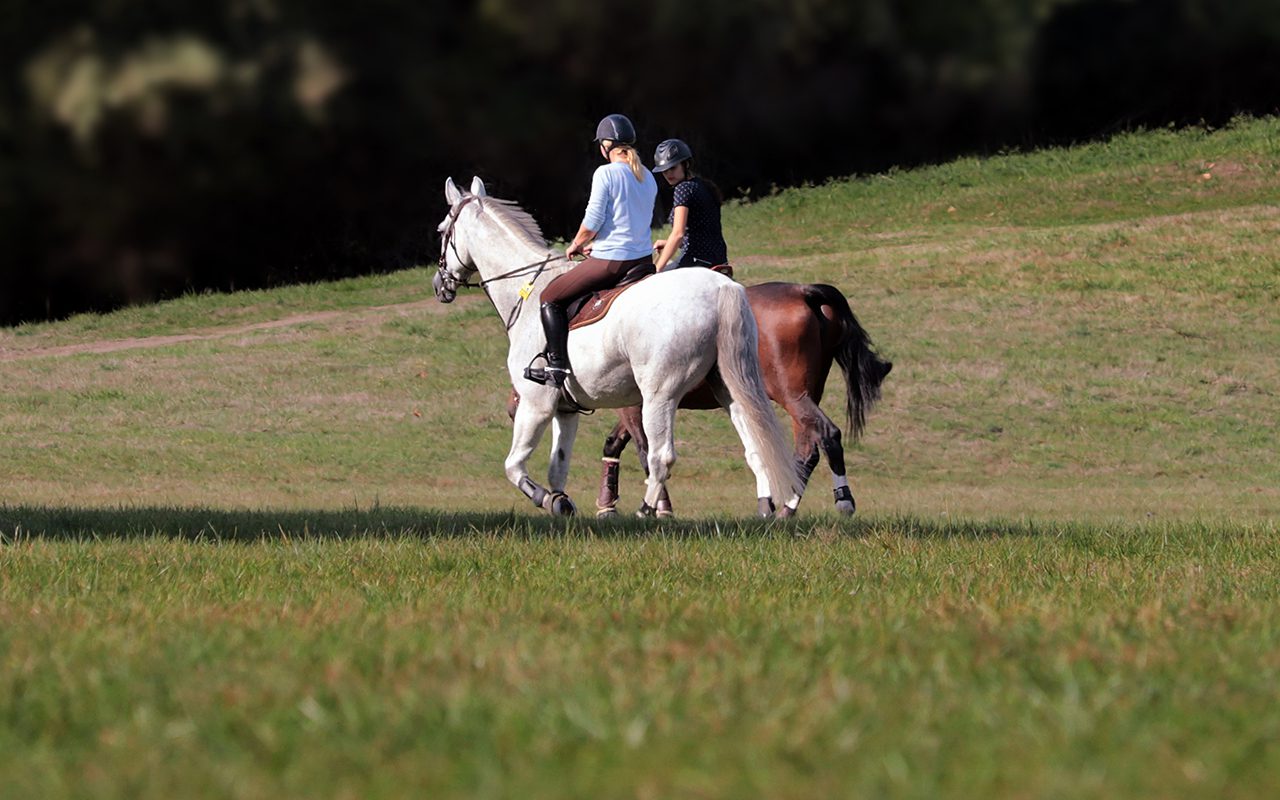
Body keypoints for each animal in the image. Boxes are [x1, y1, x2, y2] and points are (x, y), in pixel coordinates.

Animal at [433, 176, 799, 516]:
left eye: (441, 231)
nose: (439, 285)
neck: (526, 291)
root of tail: (721, 287)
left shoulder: (536, 404)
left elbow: (513, 466)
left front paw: (544, 498)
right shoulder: (566, 410)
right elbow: (558, 467)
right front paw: (561, 503)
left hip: (659, 396)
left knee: (661, 456)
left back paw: (646, 510)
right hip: (728, 389)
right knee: (756, 444)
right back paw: (768, 507)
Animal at [508, 283, 892, 518]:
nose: (513, 406)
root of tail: (805, 291)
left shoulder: (638, 405)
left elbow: (643, 451)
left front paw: (654, 507)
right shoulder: (641, 403)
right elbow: (616, 444)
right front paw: (609, 504)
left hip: (793, 396)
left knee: (825, 436)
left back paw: (830, 500)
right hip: (801, 397)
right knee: (807, 447)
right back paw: (787, 504)